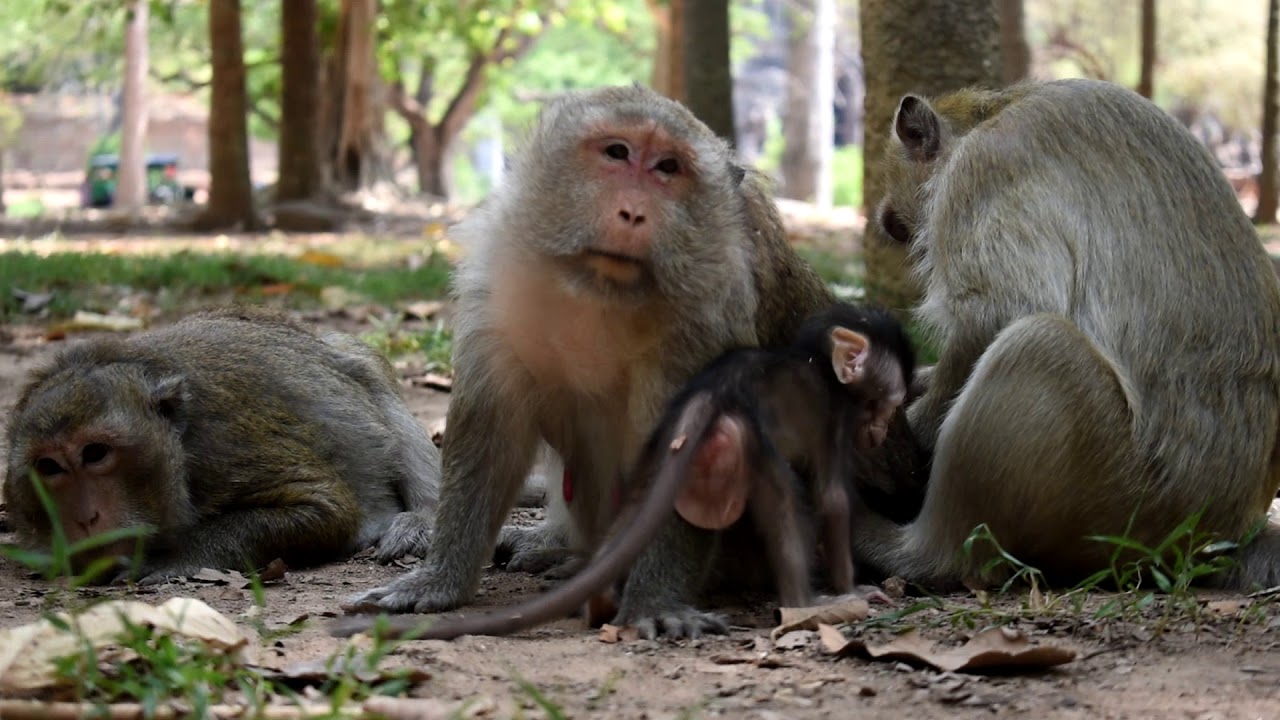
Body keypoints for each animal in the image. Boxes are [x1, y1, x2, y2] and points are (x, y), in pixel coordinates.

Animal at [2, 306, 442, 584]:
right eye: (50, 467)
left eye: (95, 453)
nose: (85, 517)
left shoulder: (226, 449)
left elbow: (329, 510)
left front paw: (172, 556)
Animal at [329, 302, 915, 641]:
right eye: (886, 405)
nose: (879, 432)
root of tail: (704, 402)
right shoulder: (837, 420)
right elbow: (833, 500)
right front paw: (850, 586)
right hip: (734, 443)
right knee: (785, 499)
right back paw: (806, 603)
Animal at [341, 84, 840, 639]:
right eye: (617, 153)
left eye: (668, 167)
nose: (632, 213)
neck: (598, 294)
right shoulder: (498, 286)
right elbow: (492, 435)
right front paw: (440, 580)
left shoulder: (707, 316)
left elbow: (694, 452)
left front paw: (653, 601)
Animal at [852, 77, 1280, 592]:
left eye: (897, 226)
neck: (992, 113)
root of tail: (1219, 538)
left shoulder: (983, 171)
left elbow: (1003, 310)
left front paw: (913, 426)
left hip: (1122, 503)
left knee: (1039, 343)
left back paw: (922, 555)